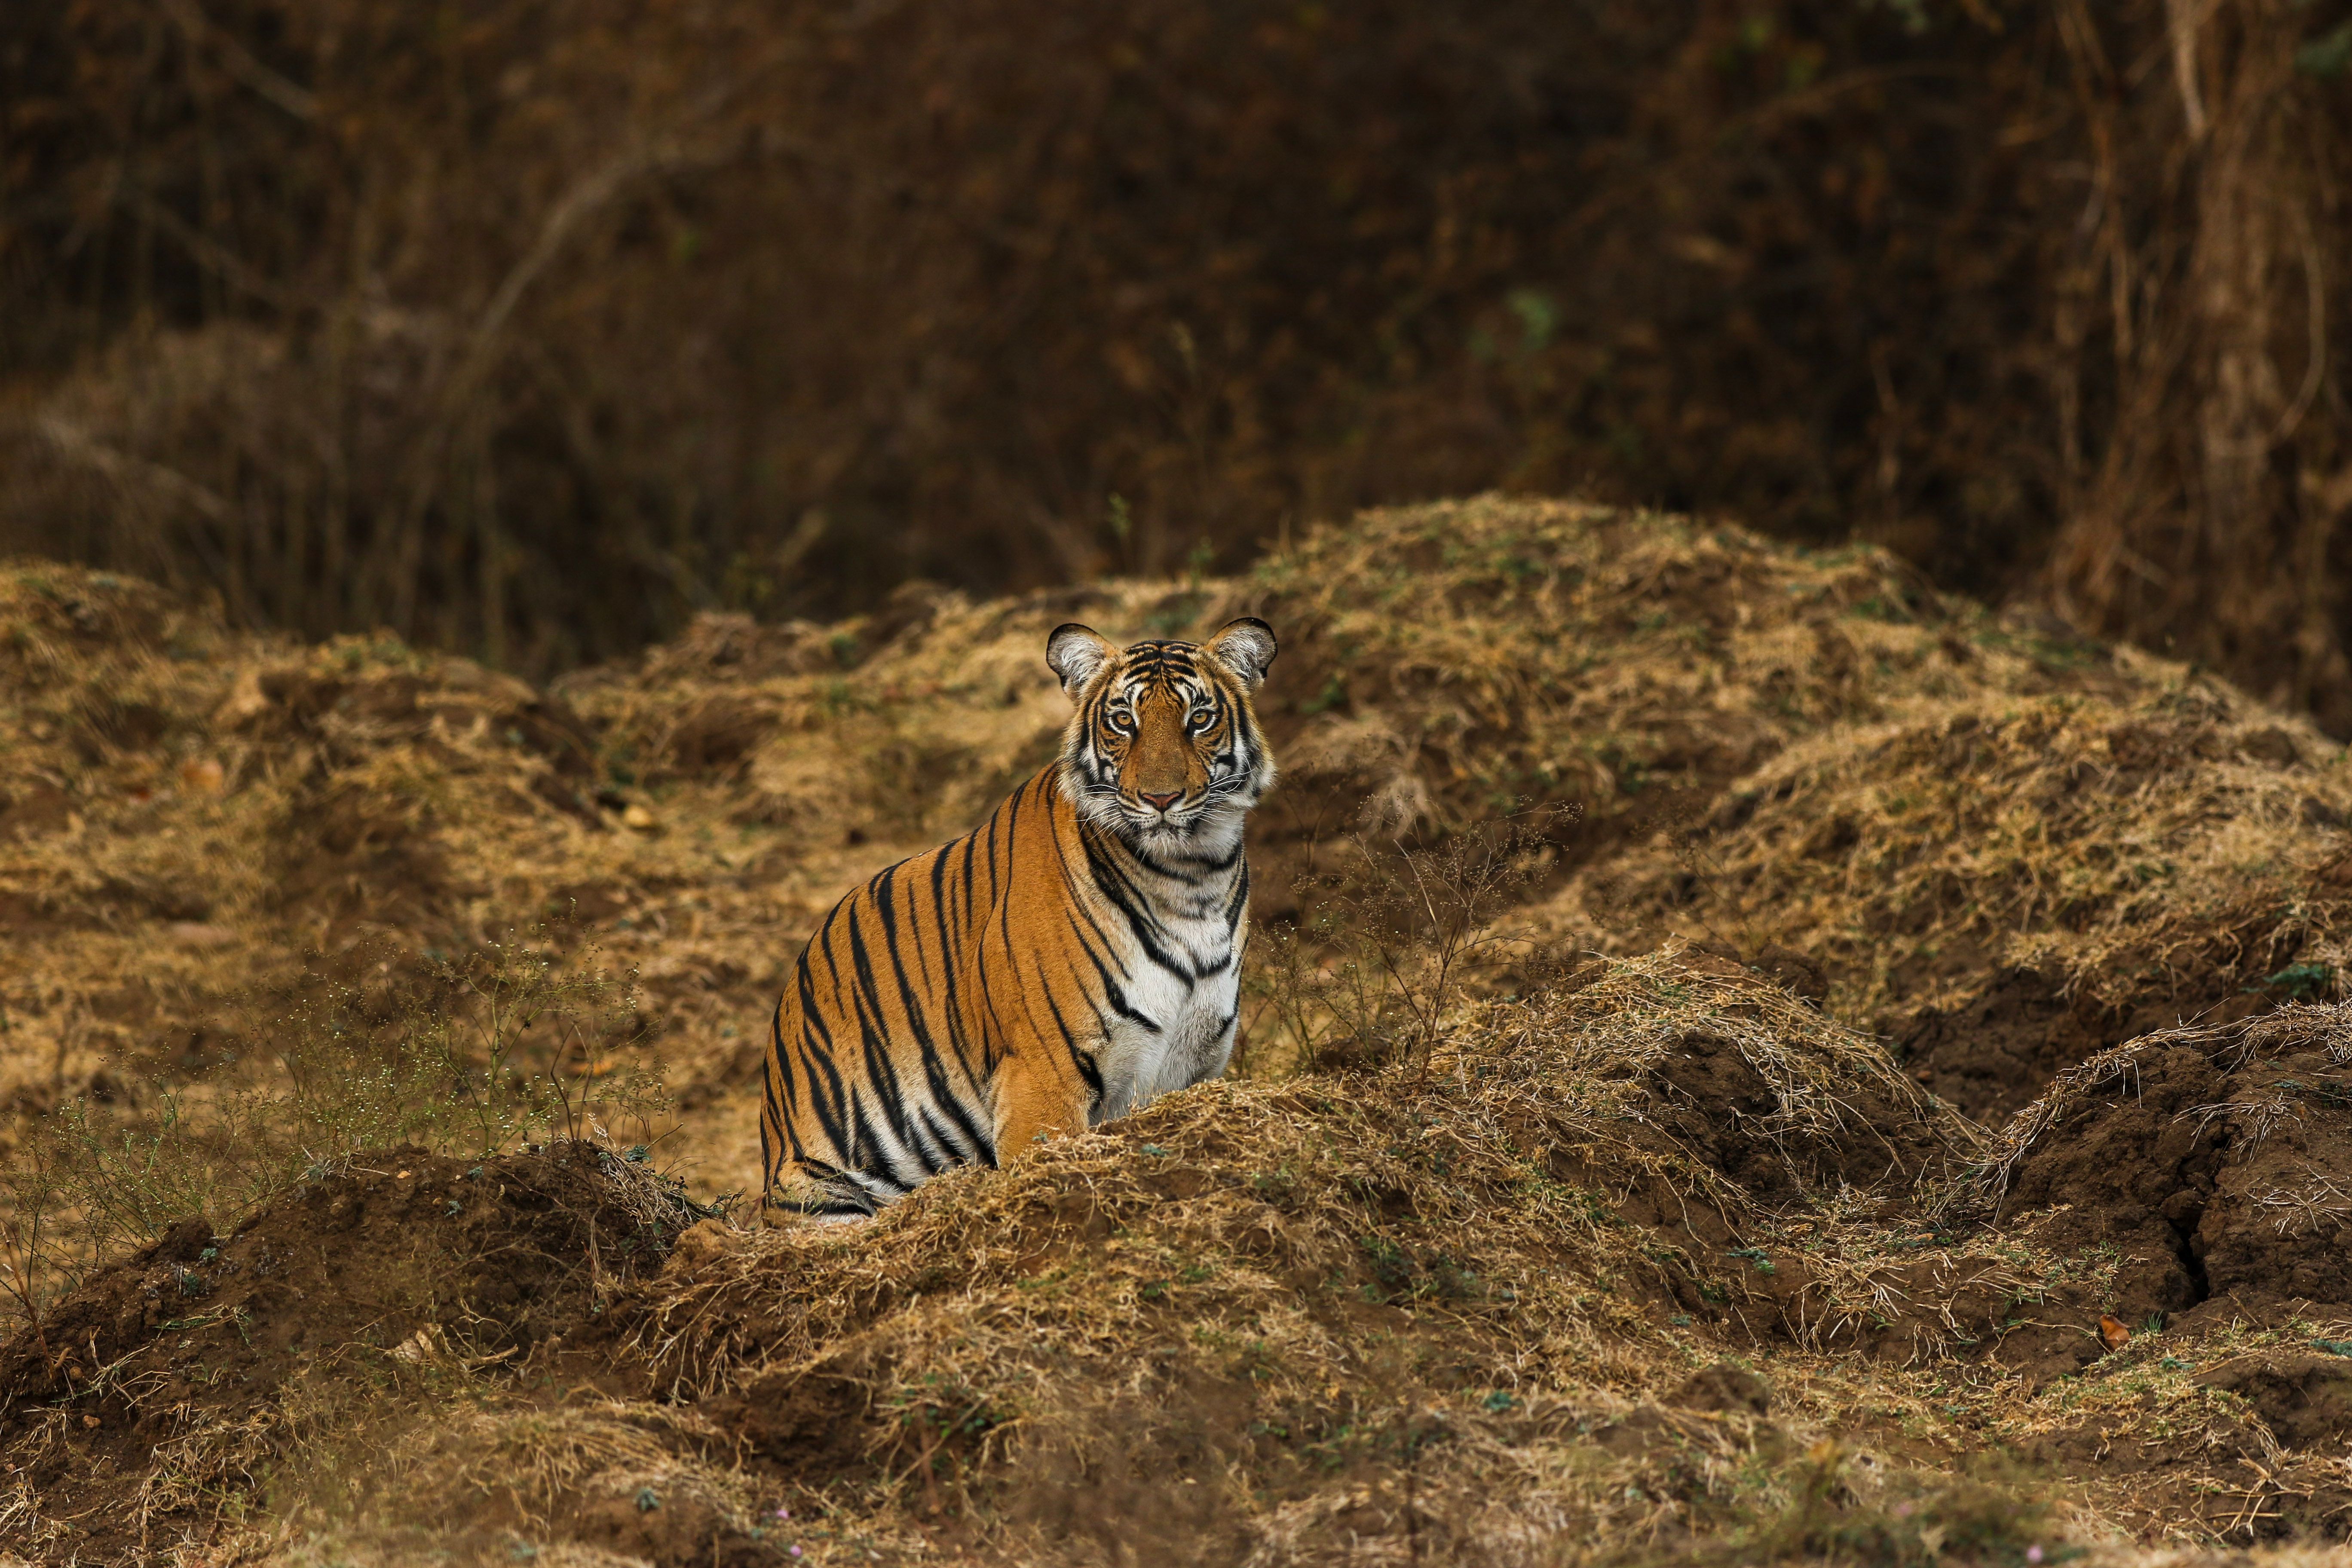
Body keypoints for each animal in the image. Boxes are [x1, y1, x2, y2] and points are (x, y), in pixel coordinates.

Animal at [757, 616, 1280, 1218]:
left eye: (1199, 719)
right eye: (1124, 721)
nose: (1162, 798)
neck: (1191, 880)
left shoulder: (1193, 1066)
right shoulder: (1043, 1074)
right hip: (821, 1194)